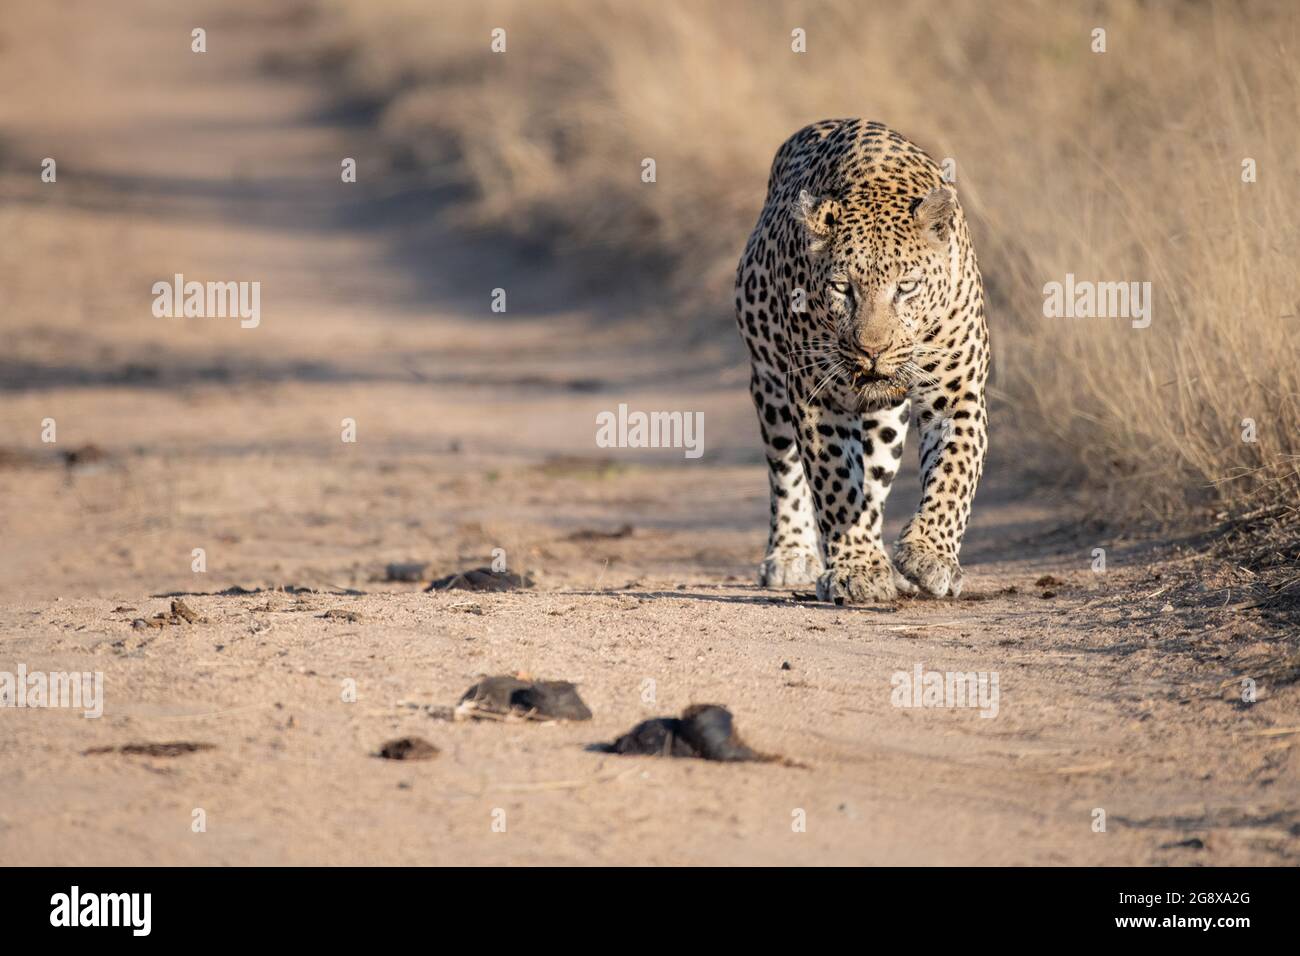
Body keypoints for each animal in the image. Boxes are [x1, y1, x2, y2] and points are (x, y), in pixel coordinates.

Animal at [734, 119, 989, 605]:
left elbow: (954, 472)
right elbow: (834, 482)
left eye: (906, 287)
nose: (873, 350)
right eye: (842, 287)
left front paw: (928, 556)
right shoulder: (817, 399)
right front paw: (856, 570)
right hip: (771, 387)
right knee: (786, 471)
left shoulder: (958, 394)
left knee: (873, 482)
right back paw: (792, 555)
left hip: (886, 420)